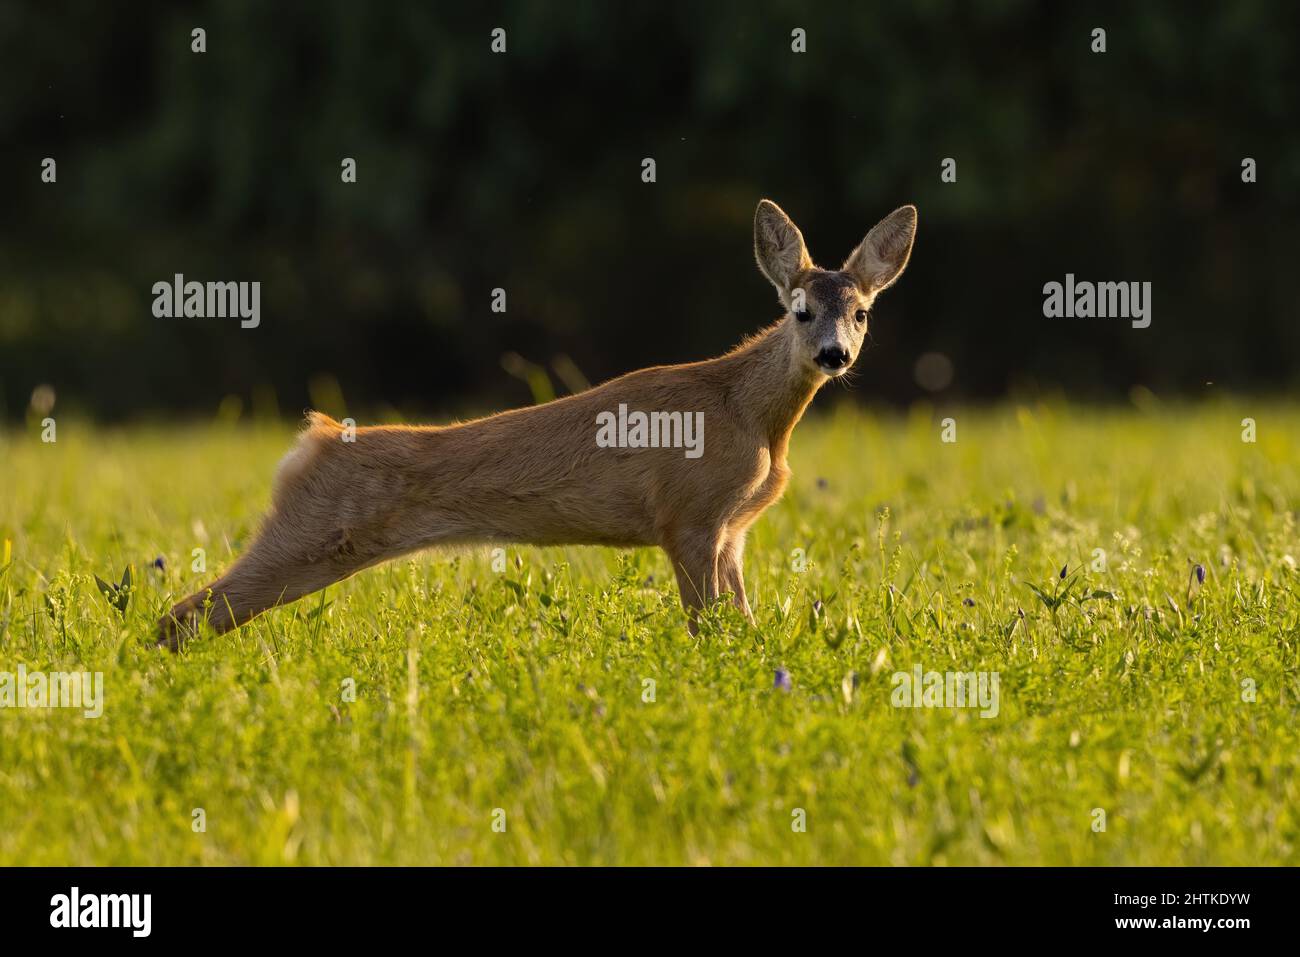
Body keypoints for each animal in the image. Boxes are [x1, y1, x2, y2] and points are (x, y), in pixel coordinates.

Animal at [158, 200, 917, 648]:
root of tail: (308, 442)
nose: (834, 354)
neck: (750, 415)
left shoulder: (732, 528)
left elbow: (744, 624)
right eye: (799, 310)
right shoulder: (688, 514)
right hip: (312, 535)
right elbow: (708, 627)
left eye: (862, 312)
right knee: (181, 613)